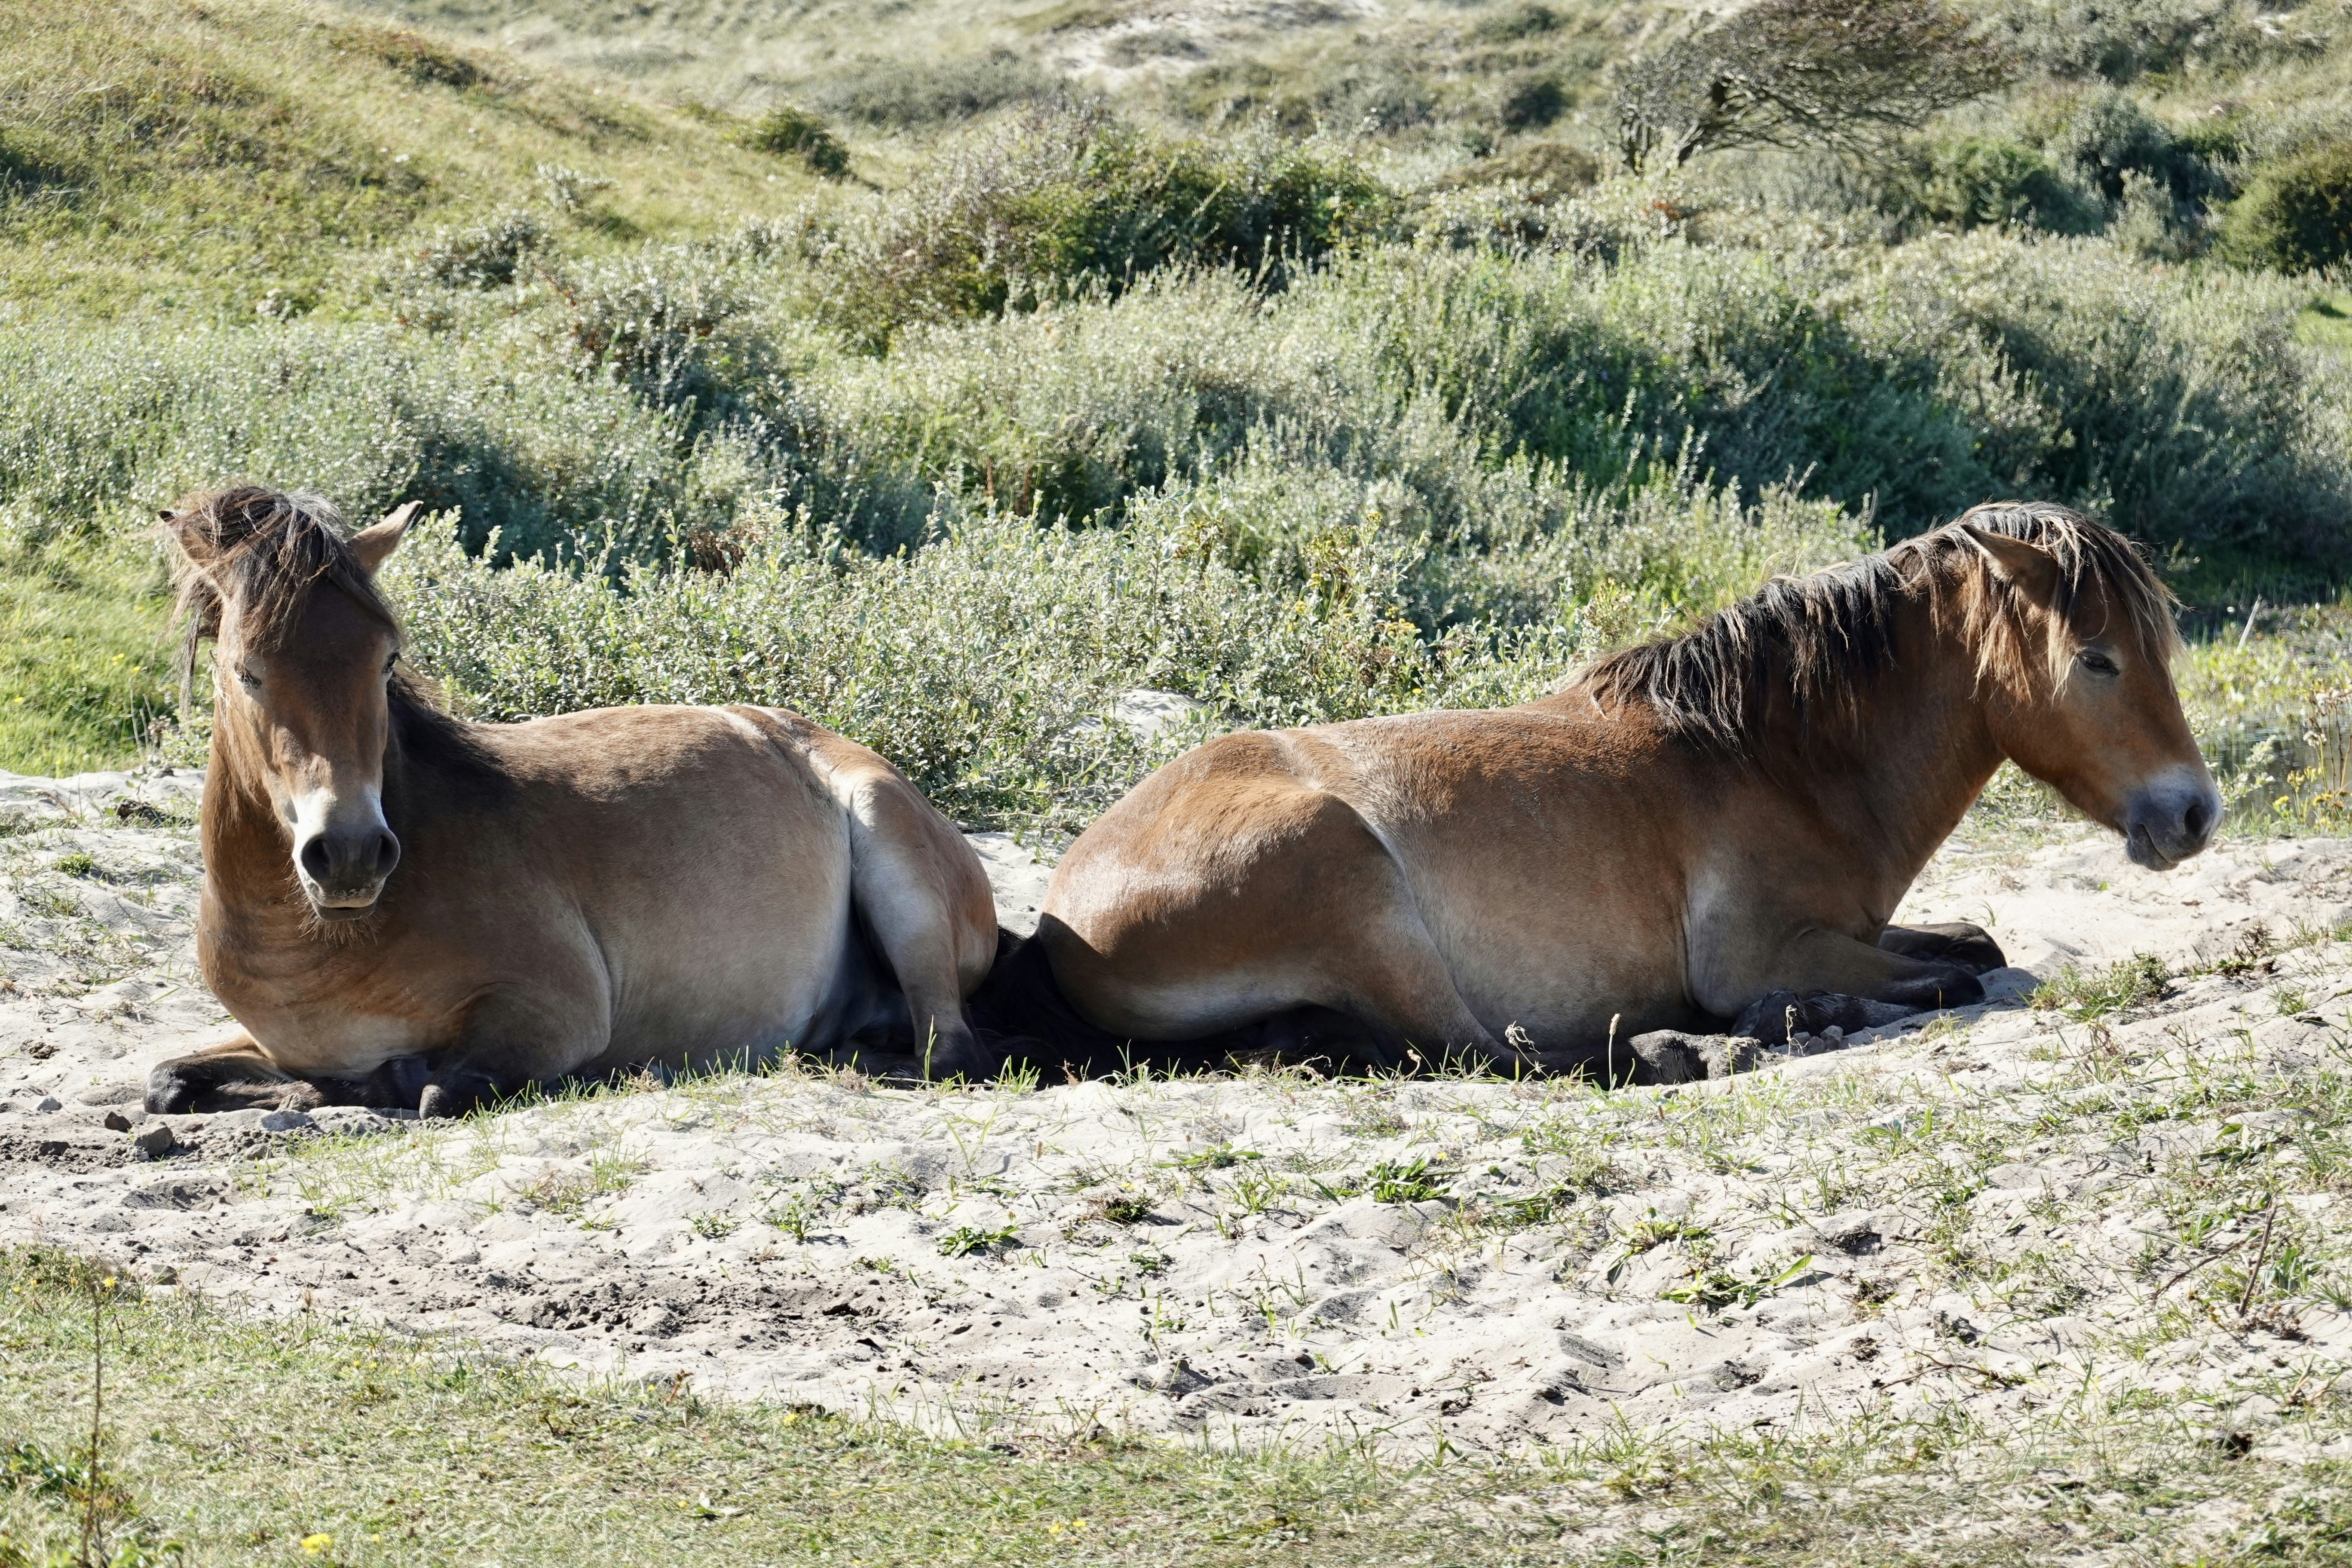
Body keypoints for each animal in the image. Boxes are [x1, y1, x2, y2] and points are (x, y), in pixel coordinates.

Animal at [145, 487, 1000, 1118]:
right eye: (246, 670)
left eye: (386, 661)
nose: (350, 854)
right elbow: (166, 1078)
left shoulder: (551, 1015)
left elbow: (435, 1089)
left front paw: (374, 1082)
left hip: (895, 865)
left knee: (951, 1049)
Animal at [978, 502, 2220, 1078]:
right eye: (2095, 660)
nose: (2192, 812)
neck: (1765, 757)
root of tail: (1062, 909)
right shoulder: (1764, 950)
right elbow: (1952, 978)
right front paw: (1798, 1013)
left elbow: (1976, 946)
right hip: (1355, 883)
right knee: (1497, 1051)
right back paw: (1700, 1047)